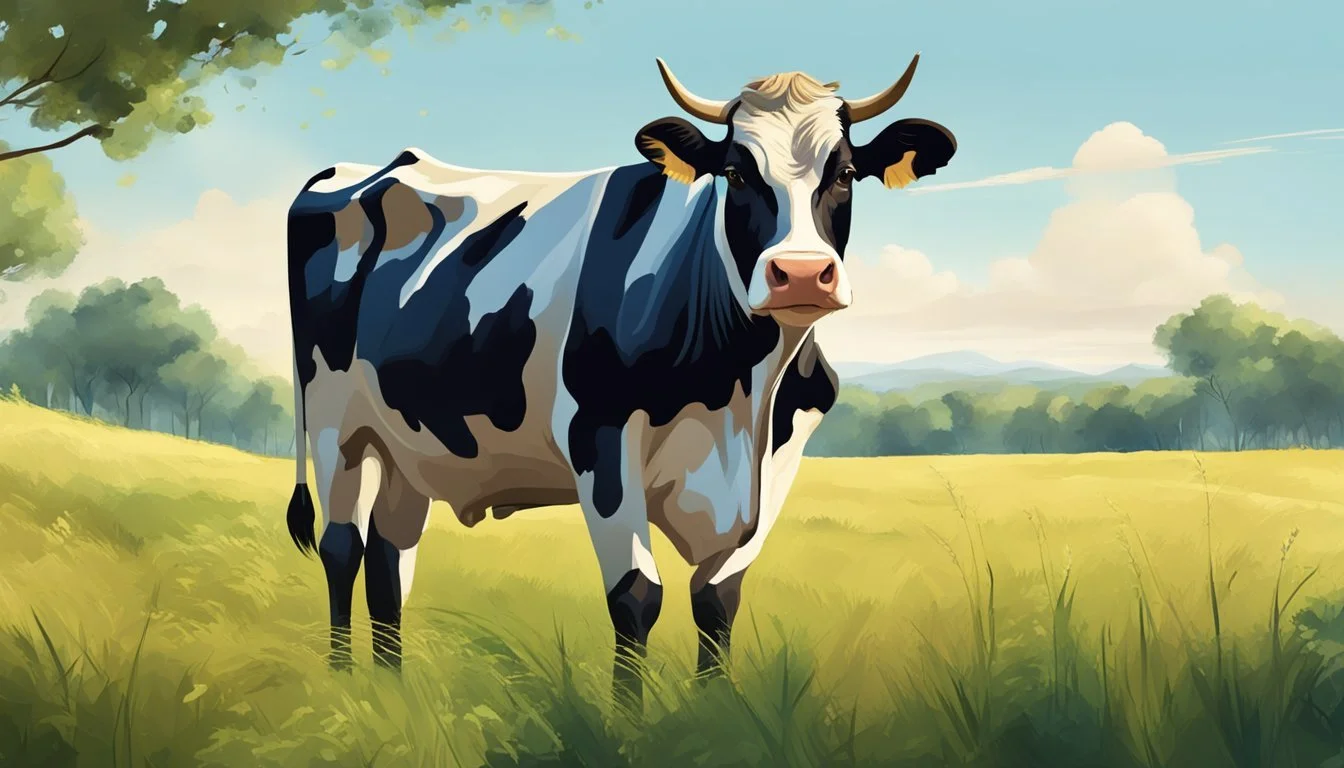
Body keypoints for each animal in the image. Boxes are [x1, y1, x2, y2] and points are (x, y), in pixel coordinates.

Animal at [284, 53, 956, 707]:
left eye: (844, 173)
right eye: (736, 175)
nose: (800, 273)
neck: (742, 402)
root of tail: (357, 170)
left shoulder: (779, 460)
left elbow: (718, 597)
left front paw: (715, 710)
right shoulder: (600, 436)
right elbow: (637, 594)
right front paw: (628, 720)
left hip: (410, 444)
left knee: (389, 559)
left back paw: (391, 686)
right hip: (334, 423)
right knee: (343, 547)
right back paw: (343, 679)